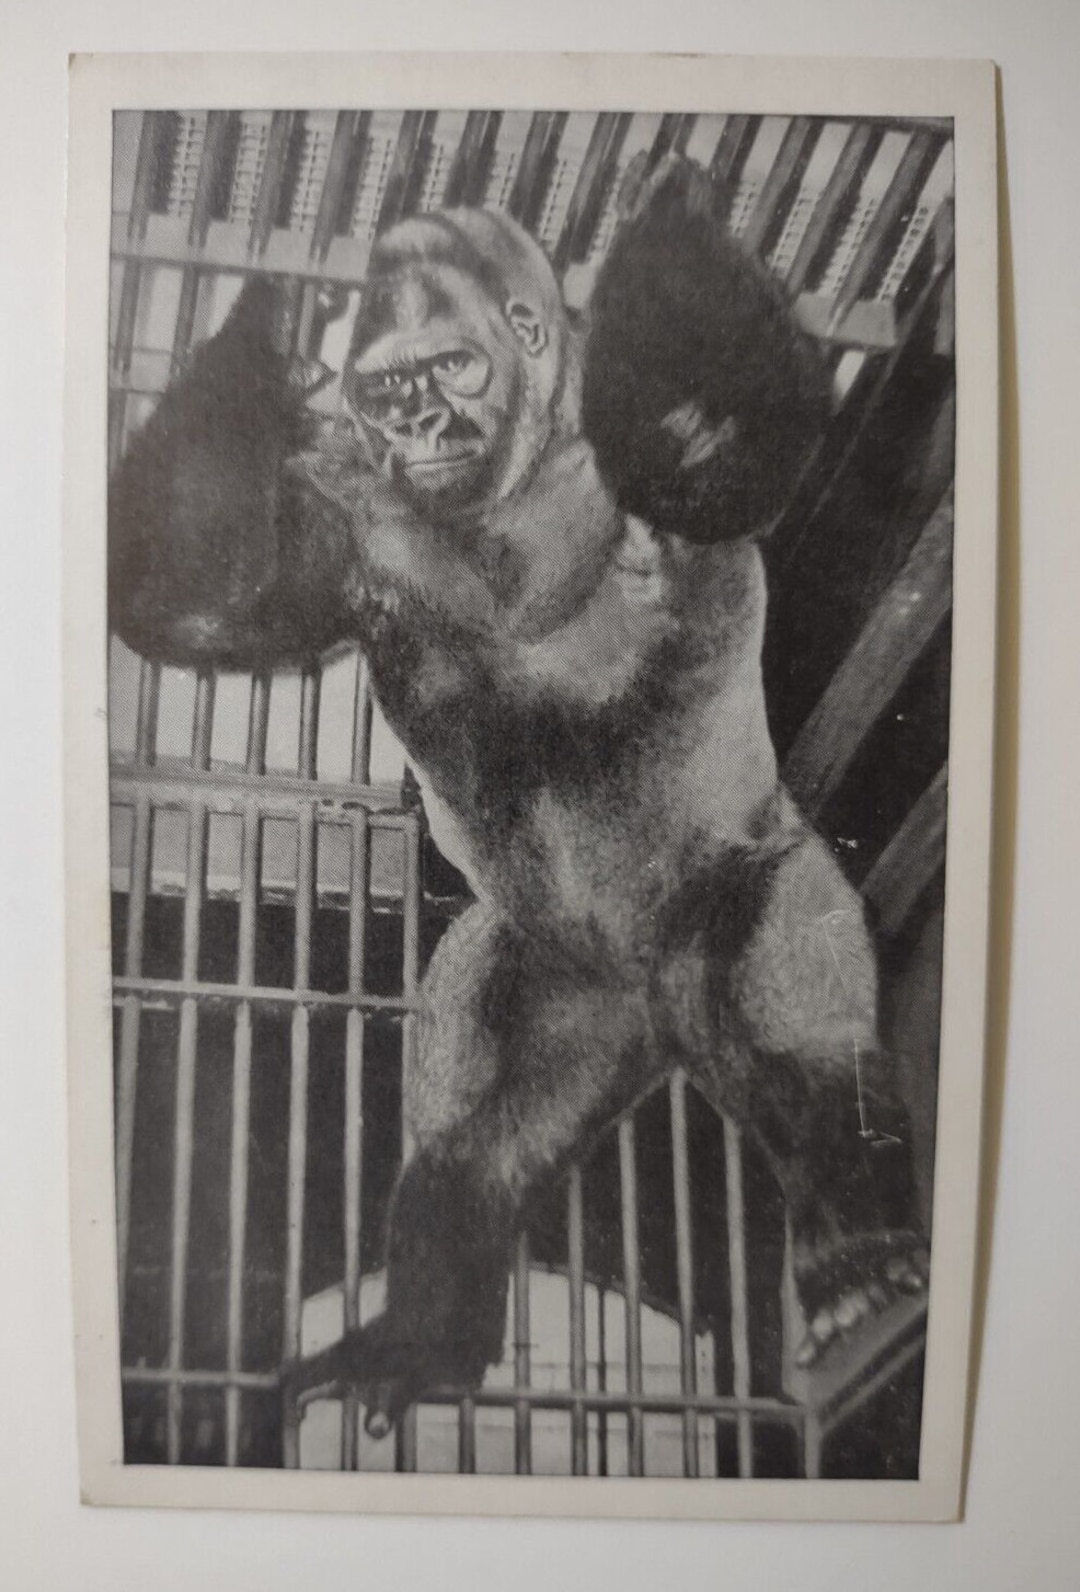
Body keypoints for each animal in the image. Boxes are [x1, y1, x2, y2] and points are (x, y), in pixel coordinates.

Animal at [108, 155, 928, 1441]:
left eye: (451, 368)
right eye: (389, 387)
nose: (419, 426)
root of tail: (648, 1009)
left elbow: (723, 449)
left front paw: (673, 221)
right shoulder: (337, 519)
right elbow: (190, 593)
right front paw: (267, 327)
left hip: (743, 893)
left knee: (798, 1038)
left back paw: (862, 1251)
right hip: (560, 982)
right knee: (473, 1144)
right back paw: (426, 1334)